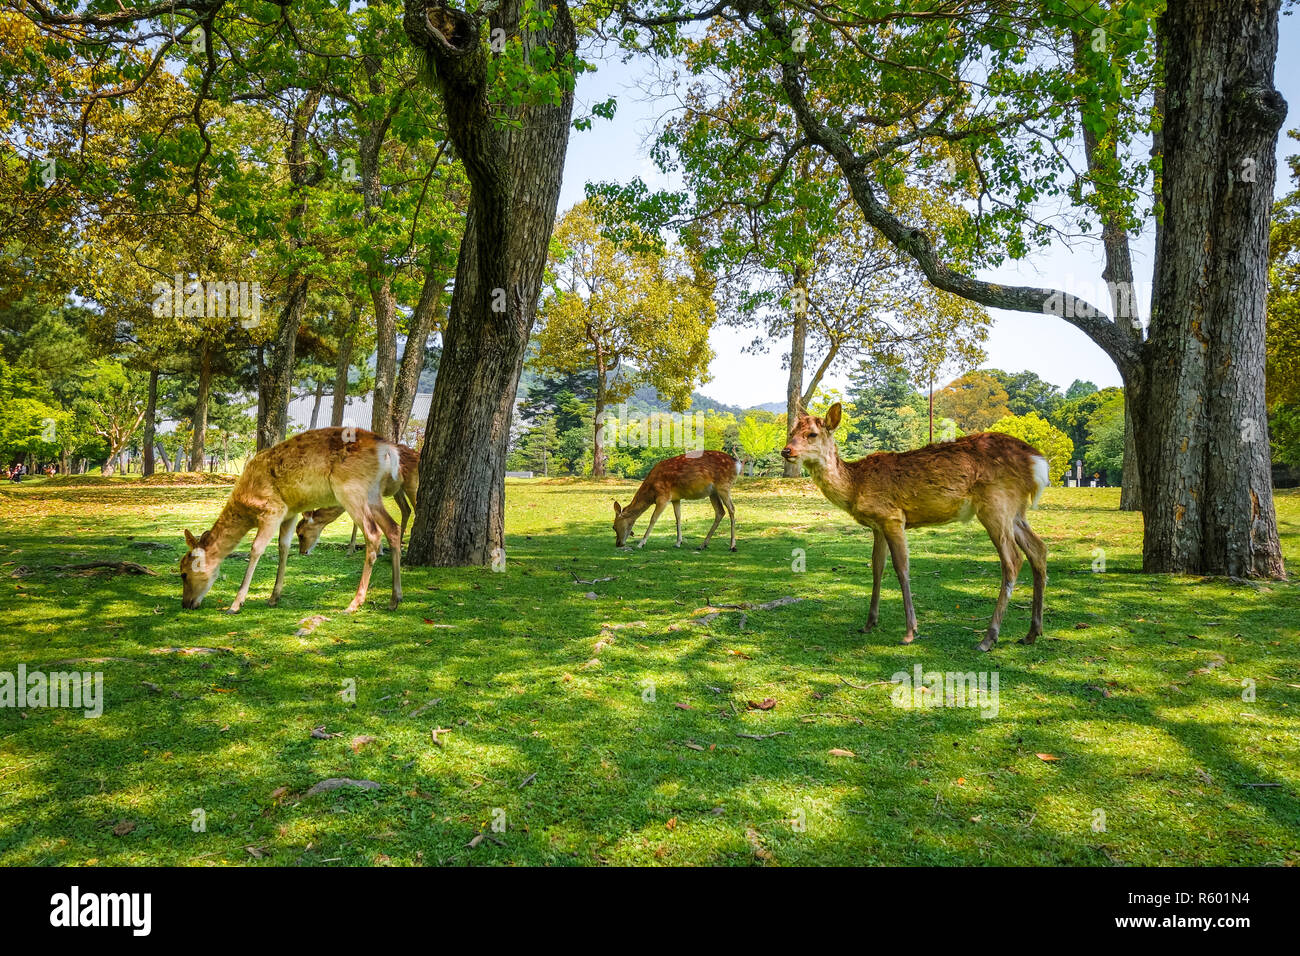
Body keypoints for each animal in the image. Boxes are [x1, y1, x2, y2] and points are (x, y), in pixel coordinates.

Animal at [179, 426, 404, 613]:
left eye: (183, 573)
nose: (186, 603)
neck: (246, 507)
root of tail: (388, 450)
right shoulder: (290, 512)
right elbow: (283, 546)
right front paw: (273, 597)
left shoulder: (273, 509)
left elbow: (256, 549)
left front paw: (235, 604)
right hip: (373, 493)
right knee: (393, 528)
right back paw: (395, 598)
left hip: (350, 489)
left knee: (373, 534)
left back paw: (354, 603)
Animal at [612, 450, 742, 551]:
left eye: (613, 526)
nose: (618, 544)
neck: (651, 492)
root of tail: (738, 464)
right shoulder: (675, 498)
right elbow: (678, 517)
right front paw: (678, 542)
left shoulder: (663, 496)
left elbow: (653, 519)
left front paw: (641, 543)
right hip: (713, 492)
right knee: (720, 511)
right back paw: (702, 545)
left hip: (724, 486)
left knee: (731, 509)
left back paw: (732, 545)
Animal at [782, 403, 1049, 652]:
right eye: (792, 431)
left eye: (812, 434)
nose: (786, 450)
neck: (855, 486)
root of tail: (1037, 463)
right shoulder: (877, 526)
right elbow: (877, 568)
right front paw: (869, 623)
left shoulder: (892, 517)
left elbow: (902, 569)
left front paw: (910, 631)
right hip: (1015, 511)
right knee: (1038, 549)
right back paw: (1031, 633)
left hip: (995, 503)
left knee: (1013, 560)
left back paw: (988, 638)